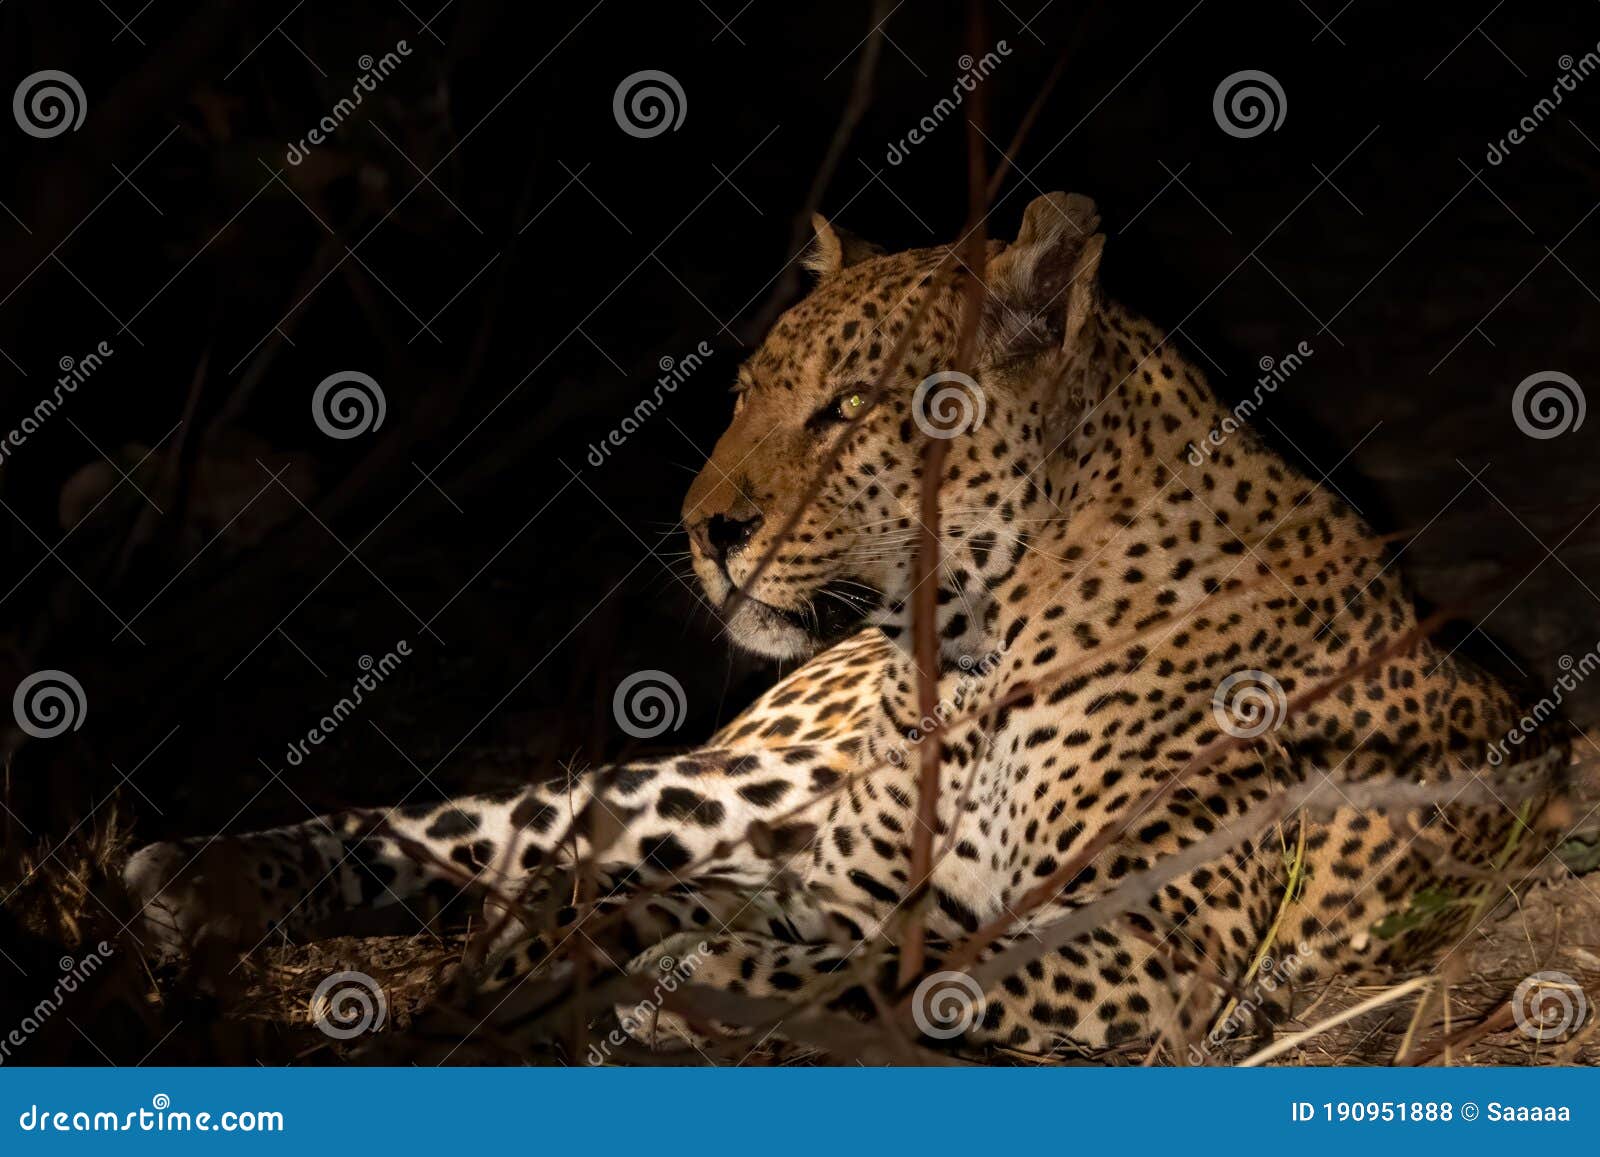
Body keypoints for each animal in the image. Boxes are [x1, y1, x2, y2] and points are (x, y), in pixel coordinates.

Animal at [123, 191, 1571, 1061]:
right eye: (745, 395)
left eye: (851, 406)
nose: (705, 528)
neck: (971, 657)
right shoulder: (850, 878)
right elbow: (804, 938)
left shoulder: (1147, 943)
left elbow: (867, 969)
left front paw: (663, 977)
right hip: (755, 771)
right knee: (540, 820)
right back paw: (205, 878)